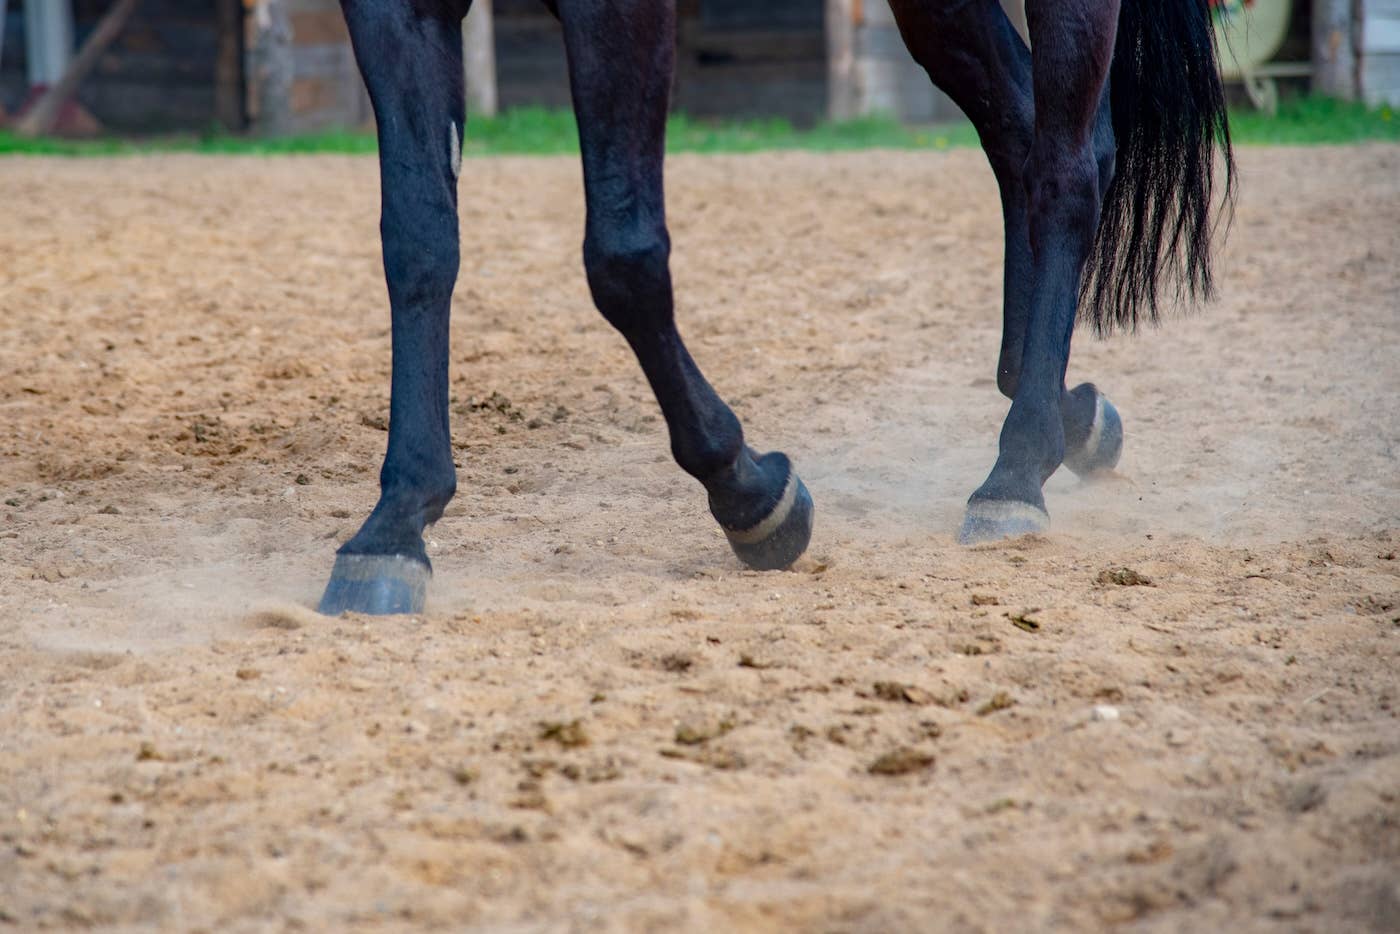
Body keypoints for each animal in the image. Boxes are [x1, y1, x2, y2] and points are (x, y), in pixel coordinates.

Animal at [316, 0, 1234, 615]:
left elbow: (622, 255)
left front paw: (751, 493)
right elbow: (419, 240)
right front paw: (393, 527)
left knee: (1067, 169)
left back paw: (1016, 471)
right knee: (1019, 130)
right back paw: (1065, 414)